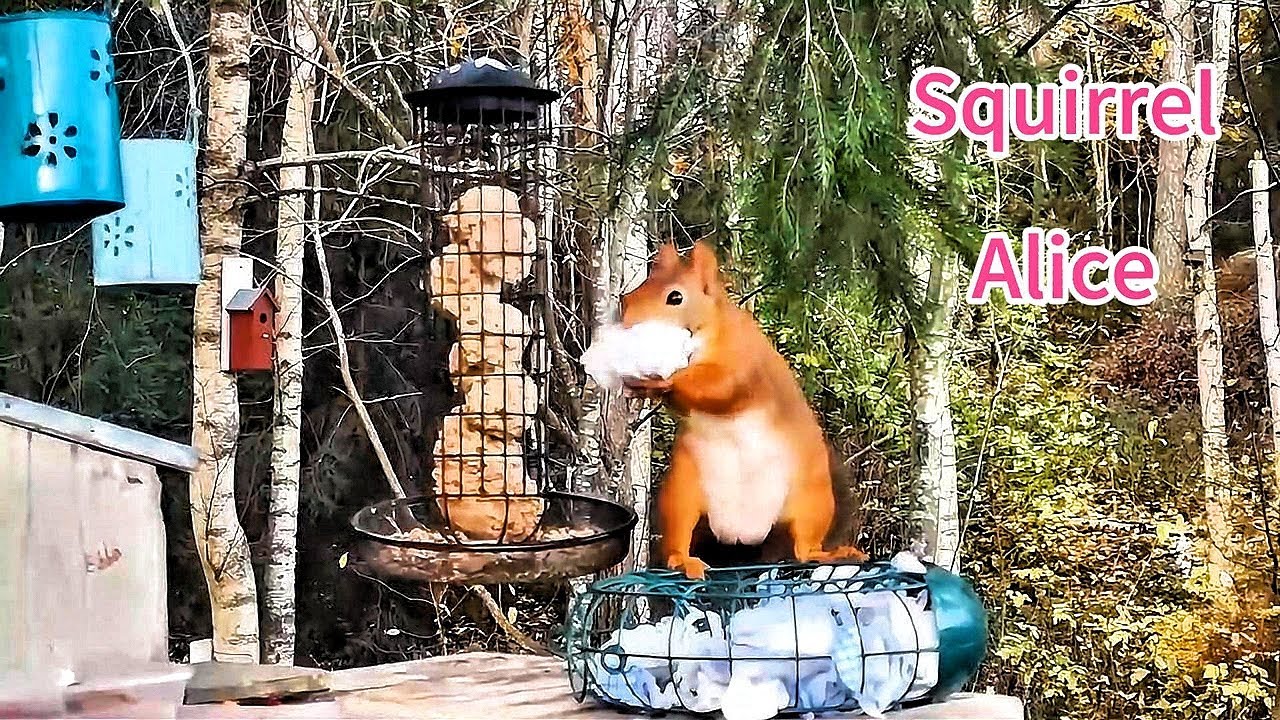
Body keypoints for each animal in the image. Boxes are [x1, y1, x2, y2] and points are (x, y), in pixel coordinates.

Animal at [619, 241, 868, 579]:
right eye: (631, 294)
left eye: (675, 297)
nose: (626, 320)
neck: (706, 335)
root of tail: (744, 532)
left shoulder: (746, 361)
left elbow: (722, 385)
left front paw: (667, 378)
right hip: (681, 491)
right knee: (679, 533)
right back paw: (684, 560)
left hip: (812, 500)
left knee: (804, 548)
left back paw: (831, 554)